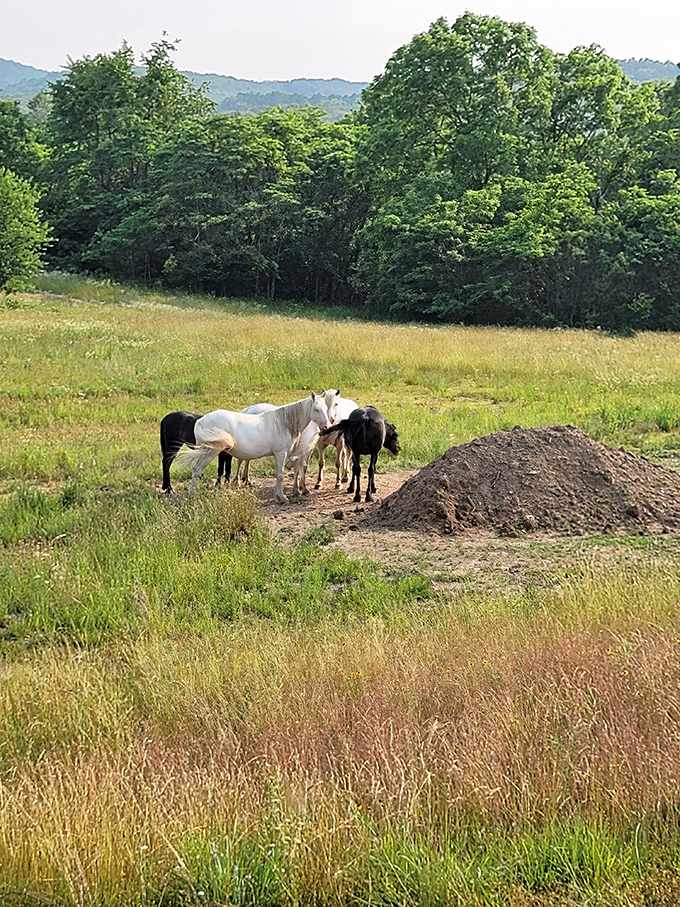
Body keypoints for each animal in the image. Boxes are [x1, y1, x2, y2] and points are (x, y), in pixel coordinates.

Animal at [180, 393, 333, 503]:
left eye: (326, 408)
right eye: (316, 409)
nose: (327, 426)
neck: (283, 423)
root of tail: (201, 421)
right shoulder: (280, 453)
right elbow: (280, 475)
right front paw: (282, 497)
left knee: (196, 469)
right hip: (210, 451)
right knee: (197, 469)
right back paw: (191, 494)